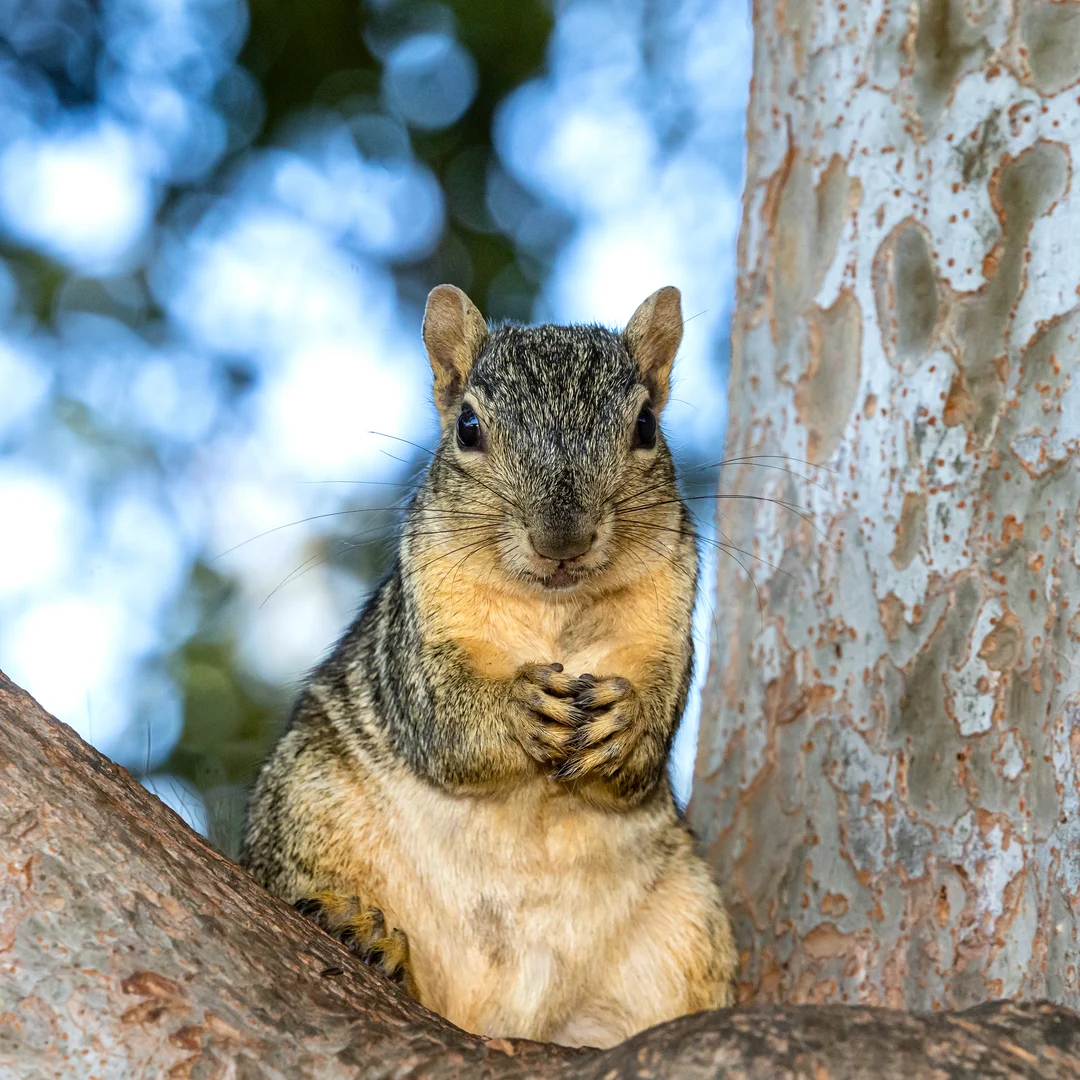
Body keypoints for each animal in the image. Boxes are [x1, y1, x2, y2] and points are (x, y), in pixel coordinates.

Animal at [242, 284, 736, 1048]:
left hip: (688, 929)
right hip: (306, 801)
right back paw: (358, 933)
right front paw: (514, 711)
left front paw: (623, 724)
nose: (562, 539)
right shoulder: (416, 634)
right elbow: (443, 718)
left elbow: (656, 720)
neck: (556, 608)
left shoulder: (670, 615)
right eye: (468, 427)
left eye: (647, 426)